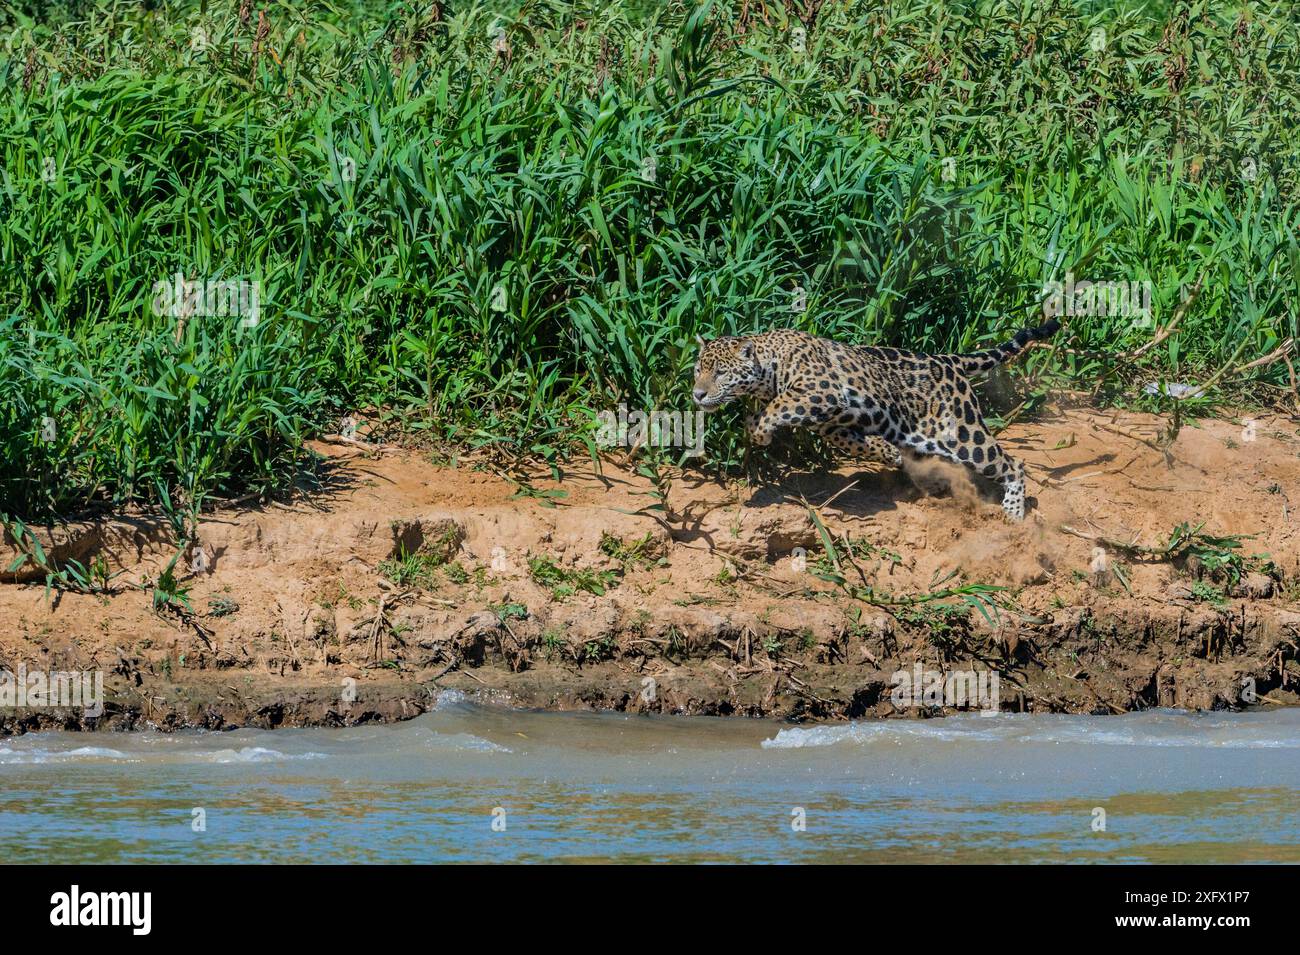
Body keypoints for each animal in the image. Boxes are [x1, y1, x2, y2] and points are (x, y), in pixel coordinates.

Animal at [691, 319, 1061, 521]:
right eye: (698, 370)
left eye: (720, 373)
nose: (697, 394)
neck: (769, 367)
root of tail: (948, 360)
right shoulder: (832, 423)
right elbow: (852, 442)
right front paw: (887, 451)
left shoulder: (821, 392)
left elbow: (775, 408)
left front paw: (760, 430)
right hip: (928, 437)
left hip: (964, 435)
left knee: (1013, 464)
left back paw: (1014, 512)